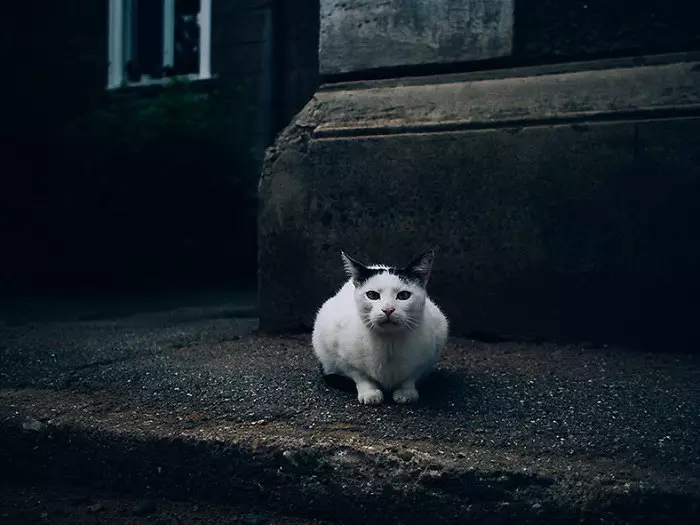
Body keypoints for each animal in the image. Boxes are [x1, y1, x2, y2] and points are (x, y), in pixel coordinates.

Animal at [312, 250, 448, 406]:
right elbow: (361, 376)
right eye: (372, 295)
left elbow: (410, 377)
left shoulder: (428, 356)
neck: (388, 343)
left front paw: (406, 391)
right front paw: (370, 392)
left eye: (404, 295)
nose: (388, 309)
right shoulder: (341, 354)